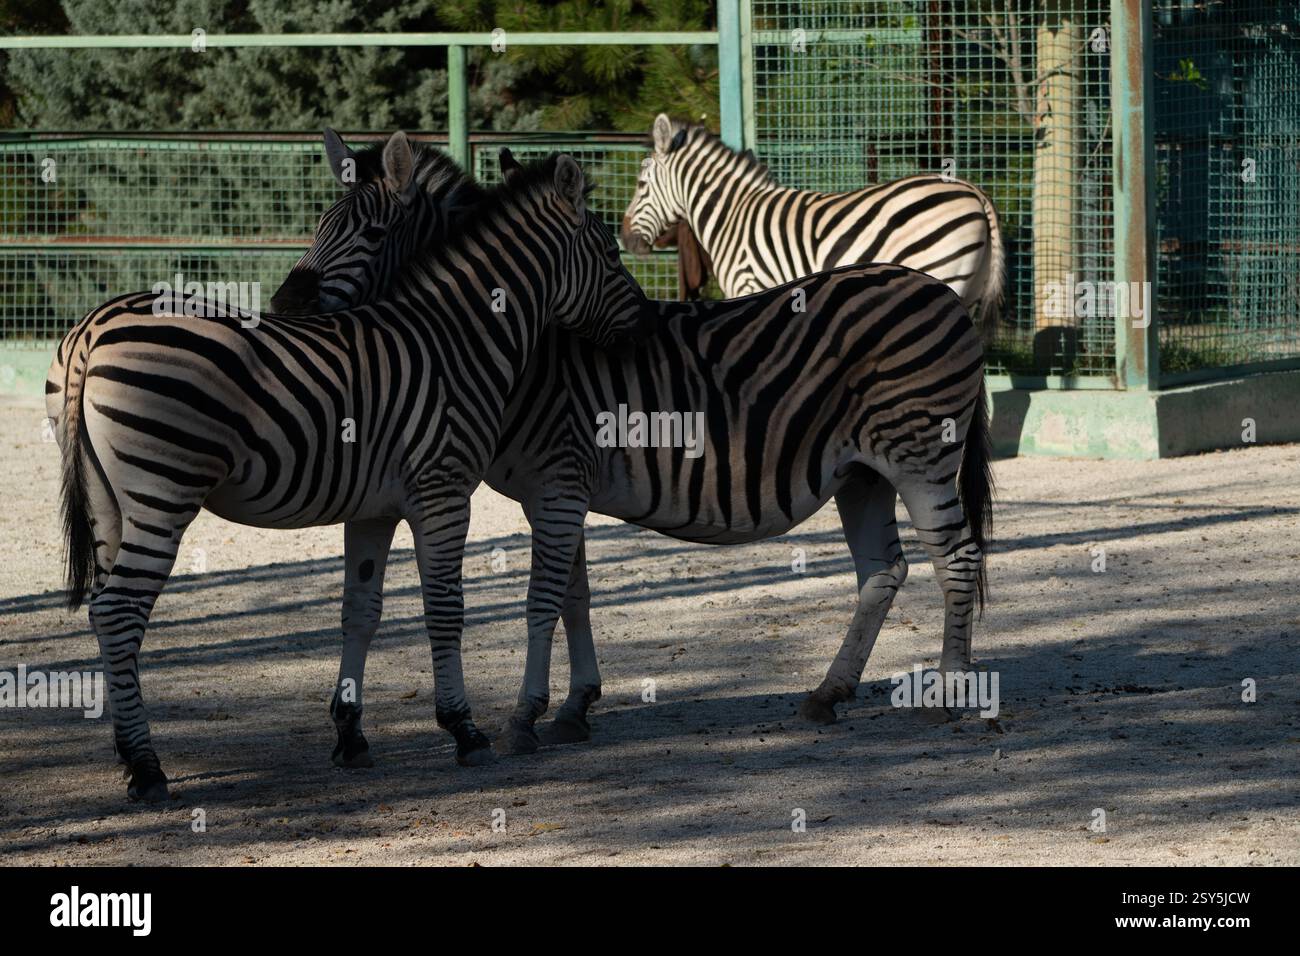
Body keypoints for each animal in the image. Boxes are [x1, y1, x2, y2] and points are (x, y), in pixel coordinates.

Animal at [45, 142, 650, 800]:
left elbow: (361, 611)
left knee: (107, 610)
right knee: (119, 611)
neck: (457, 339)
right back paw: (148, 768)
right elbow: (445, 607)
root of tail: (92, 329)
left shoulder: (374, 509)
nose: (645, 323)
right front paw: (464, 731)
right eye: (611, 254)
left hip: (110, 503)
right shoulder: (442, 492)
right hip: (163, 492)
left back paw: (129, 757)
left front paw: (351, 736)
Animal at [273, 144, 993, 760]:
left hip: (920, 457)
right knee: (882, 571)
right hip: (862, 472)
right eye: (320, 223)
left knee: (956, 559)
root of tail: (940, 292)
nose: (283, 303)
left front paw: (524, 718)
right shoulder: (555, 490)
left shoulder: (559, 482)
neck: (526, 347)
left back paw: (948, 693)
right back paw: (828, 693)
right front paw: (573, 709)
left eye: (367, 232)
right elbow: (573, 596)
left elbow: (542, 599)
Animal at [620, 114, 1005, 327]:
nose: (625, 239)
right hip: (968, 289)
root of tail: (974, 191)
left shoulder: (749, 285)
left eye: (640, 185)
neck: (731, 215)